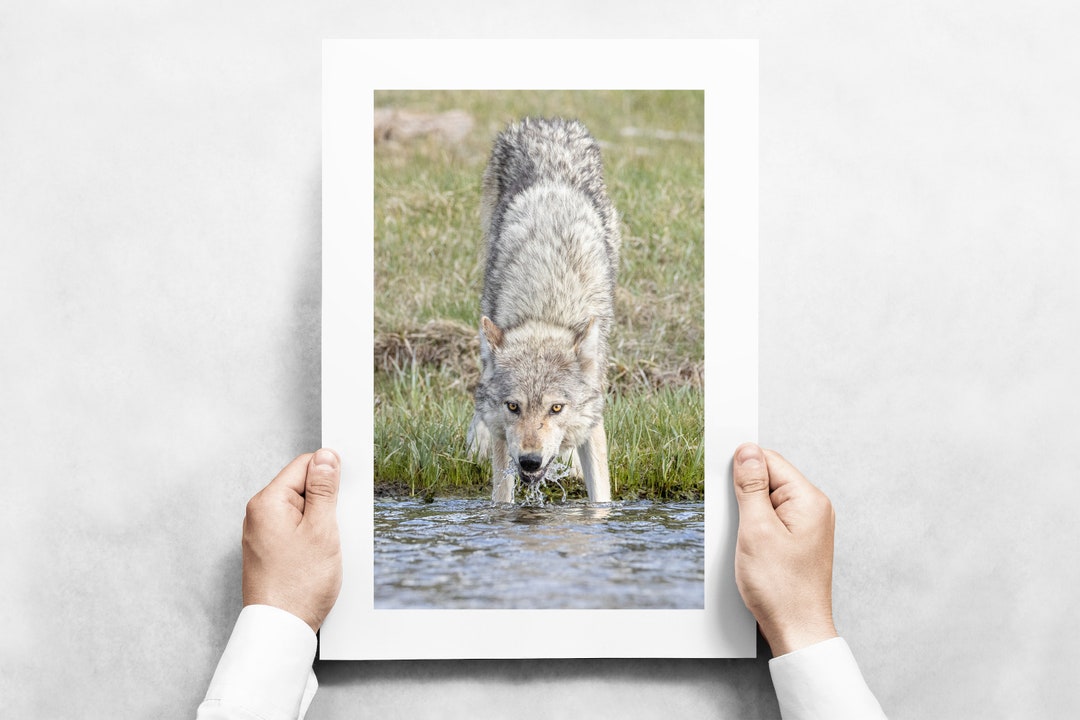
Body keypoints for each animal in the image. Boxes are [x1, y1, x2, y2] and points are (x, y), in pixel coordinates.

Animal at [467, 117, 620, 503]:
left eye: (556, 408)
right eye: (513, 406)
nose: (531, 461)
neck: (545, 308)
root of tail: (546, 122)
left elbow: (601, 496)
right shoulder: (505, 439)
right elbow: (501, 497)